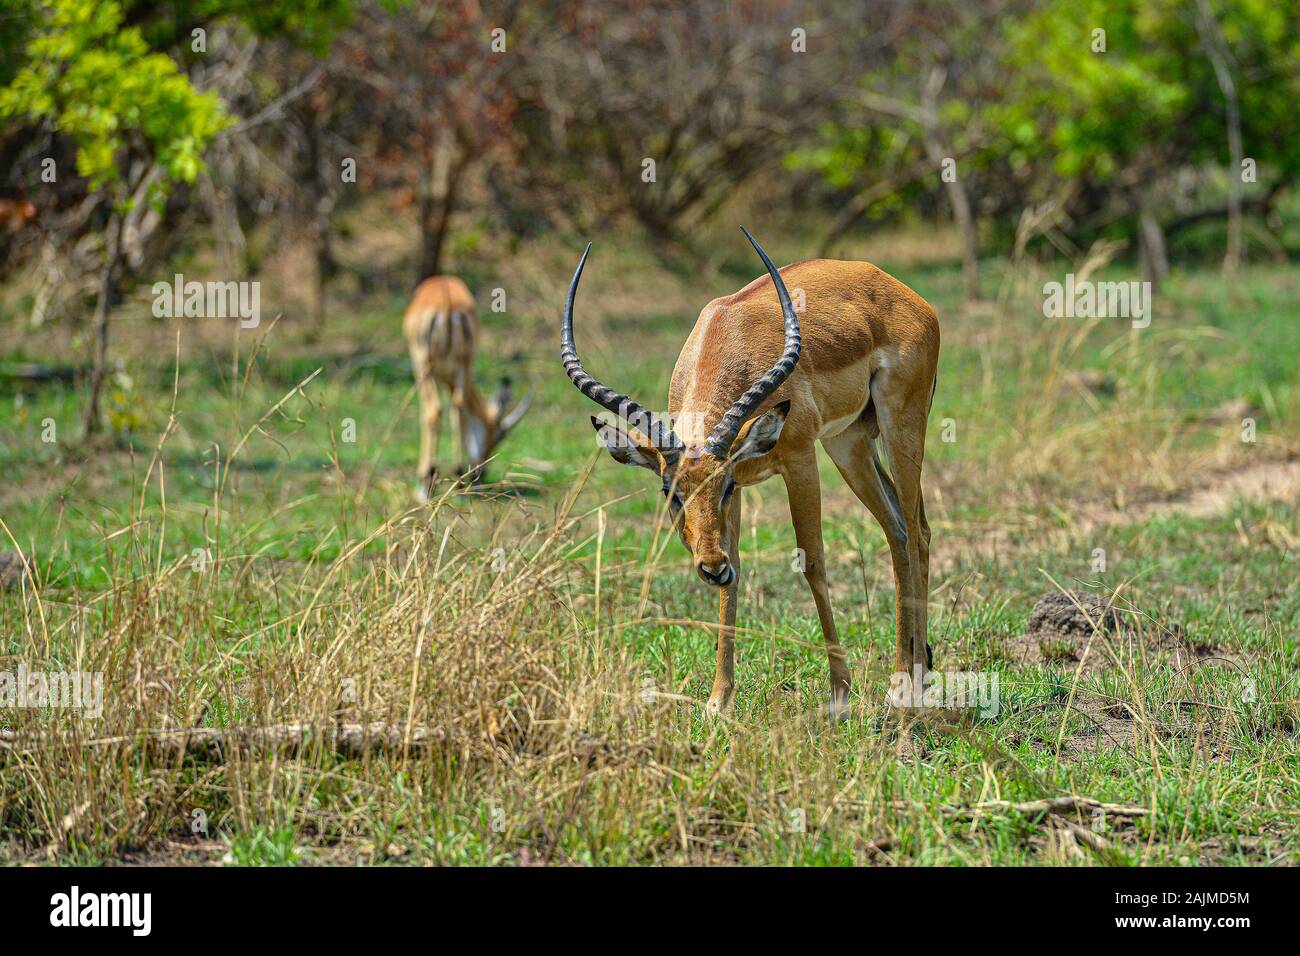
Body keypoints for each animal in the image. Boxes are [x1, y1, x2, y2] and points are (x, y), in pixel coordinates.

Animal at [404, 276, 530, 494]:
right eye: (497, 436)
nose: (482, 472)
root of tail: (447, 303)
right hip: (465, 363)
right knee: (459, 407)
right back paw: (458, 476)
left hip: (425, 366)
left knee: (434, 411)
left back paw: (428, 483)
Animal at [561, 228, 939, 715]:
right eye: (670, 492)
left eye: (721, 487)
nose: (710, 568)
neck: (727, 337)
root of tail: (901, 291)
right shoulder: (742, 482)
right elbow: (737, 567)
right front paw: (717, 700)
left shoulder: (796, 459)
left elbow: (812, 560)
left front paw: (839, 693)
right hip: (849, 443)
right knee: (897, 530)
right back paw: (903, 677)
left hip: (899, 426)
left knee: (917, 533)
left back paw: (912, 684)